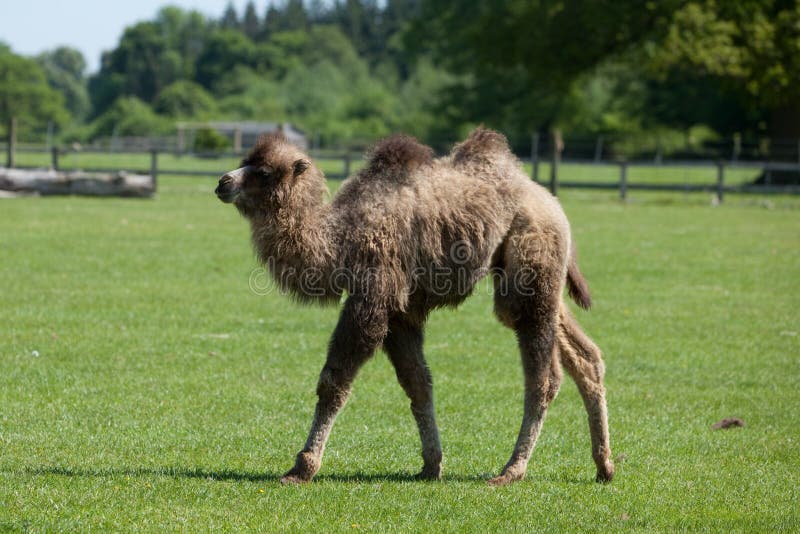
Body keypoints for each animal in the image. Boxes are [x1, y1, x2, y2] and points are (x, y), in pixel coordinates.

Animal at [215, 128, 614, 485]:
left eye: (264, 172)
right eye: (245, 161)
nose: (222, 182)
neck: (341, 238)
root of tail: (551, 200)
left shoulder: (373, 295)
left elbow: (334, 381)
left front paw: (302, 467)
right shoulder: (401, 311)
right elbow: (418, 383)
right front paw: (431, 465)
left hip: (531, 263)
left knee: (543, 376)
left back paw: (512, 470)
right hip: (537, 277)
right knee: (586, 357)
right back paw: (604, 466)